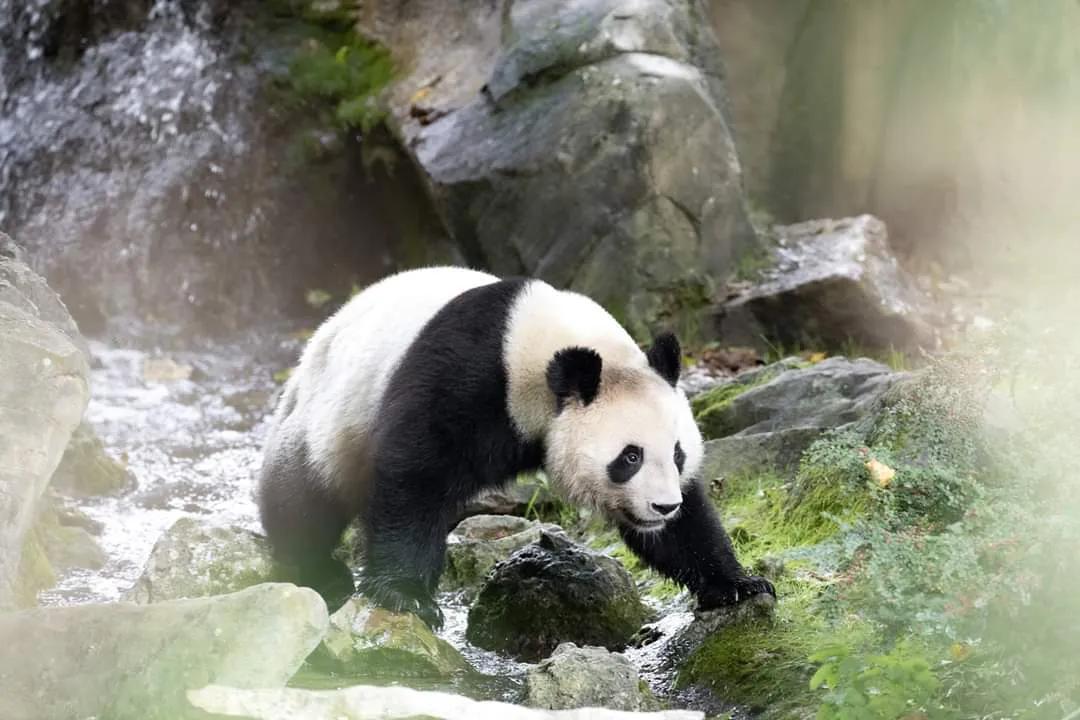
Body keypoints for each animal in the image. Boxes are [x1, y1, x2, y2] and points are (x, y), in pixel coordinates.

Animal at [258, 267, 775, 628]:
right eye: (630, 457)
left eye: (678, 454)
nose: (662, 506)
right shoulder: (465, 377)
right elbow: (415, 475)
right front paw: (404, 594)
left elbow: (687, 529)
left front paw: (738, 585)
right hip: (327, 420)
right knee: (302, 499)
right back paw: (317, 569)